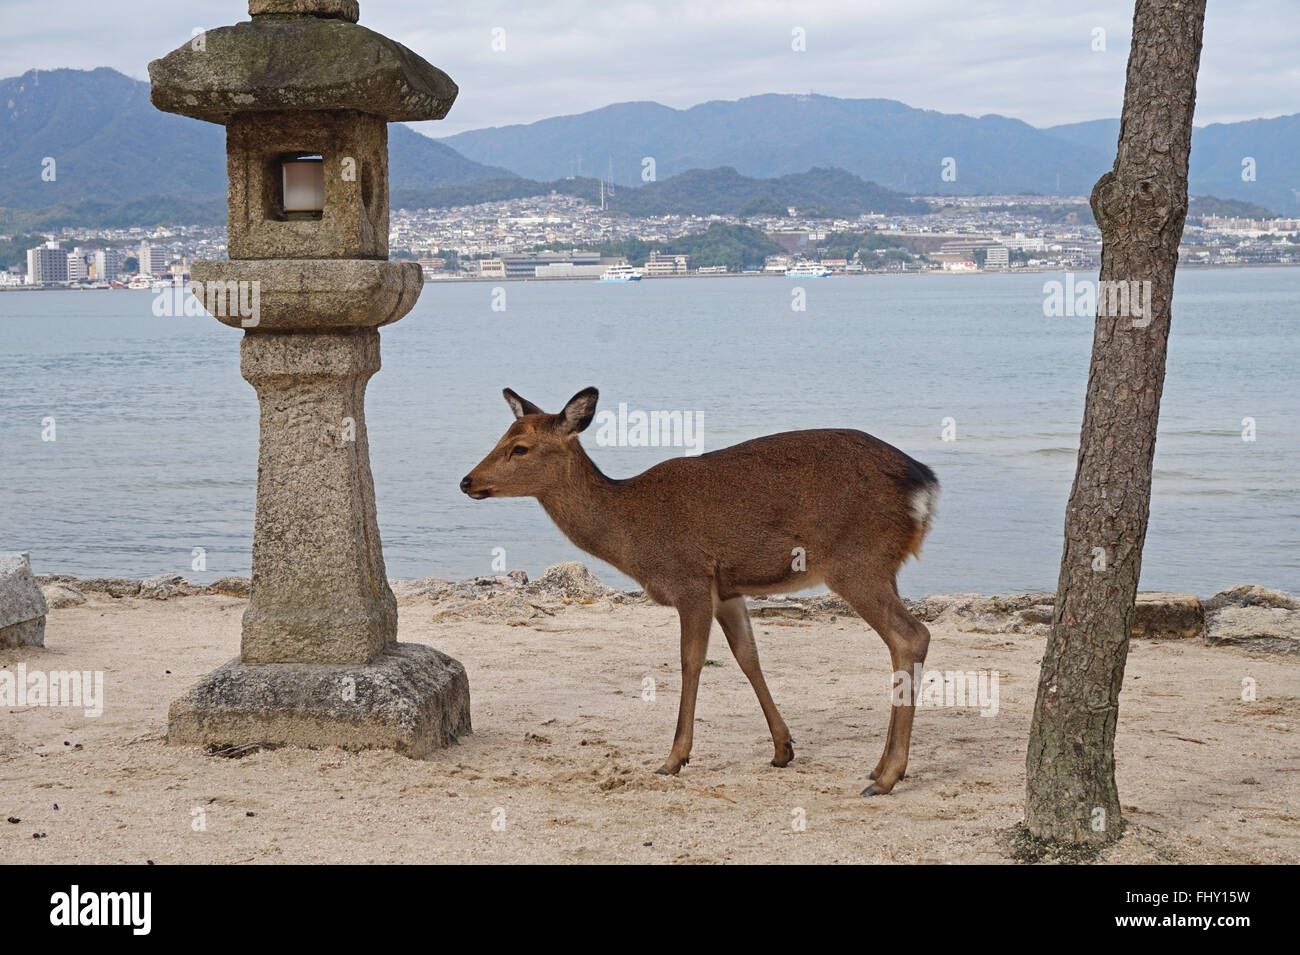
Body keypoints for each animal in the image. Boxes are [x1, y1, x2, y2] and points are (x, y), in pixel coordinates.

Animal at [460, 387, 938, 795]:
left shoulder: (688, 579)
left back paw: (887, 775)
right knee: (902, 641)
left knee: (911, 635)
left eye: (520, 447)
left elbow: (690, 661)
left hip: (856, 562)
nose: (467, 481)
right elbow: (748, 656)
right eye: (504, 436)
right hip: (882, 567)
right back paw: (878, 768)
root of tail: (924, 485)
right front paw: (782, 748)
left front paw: (673, 758)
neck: (630, 533)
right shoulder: (726, 589)